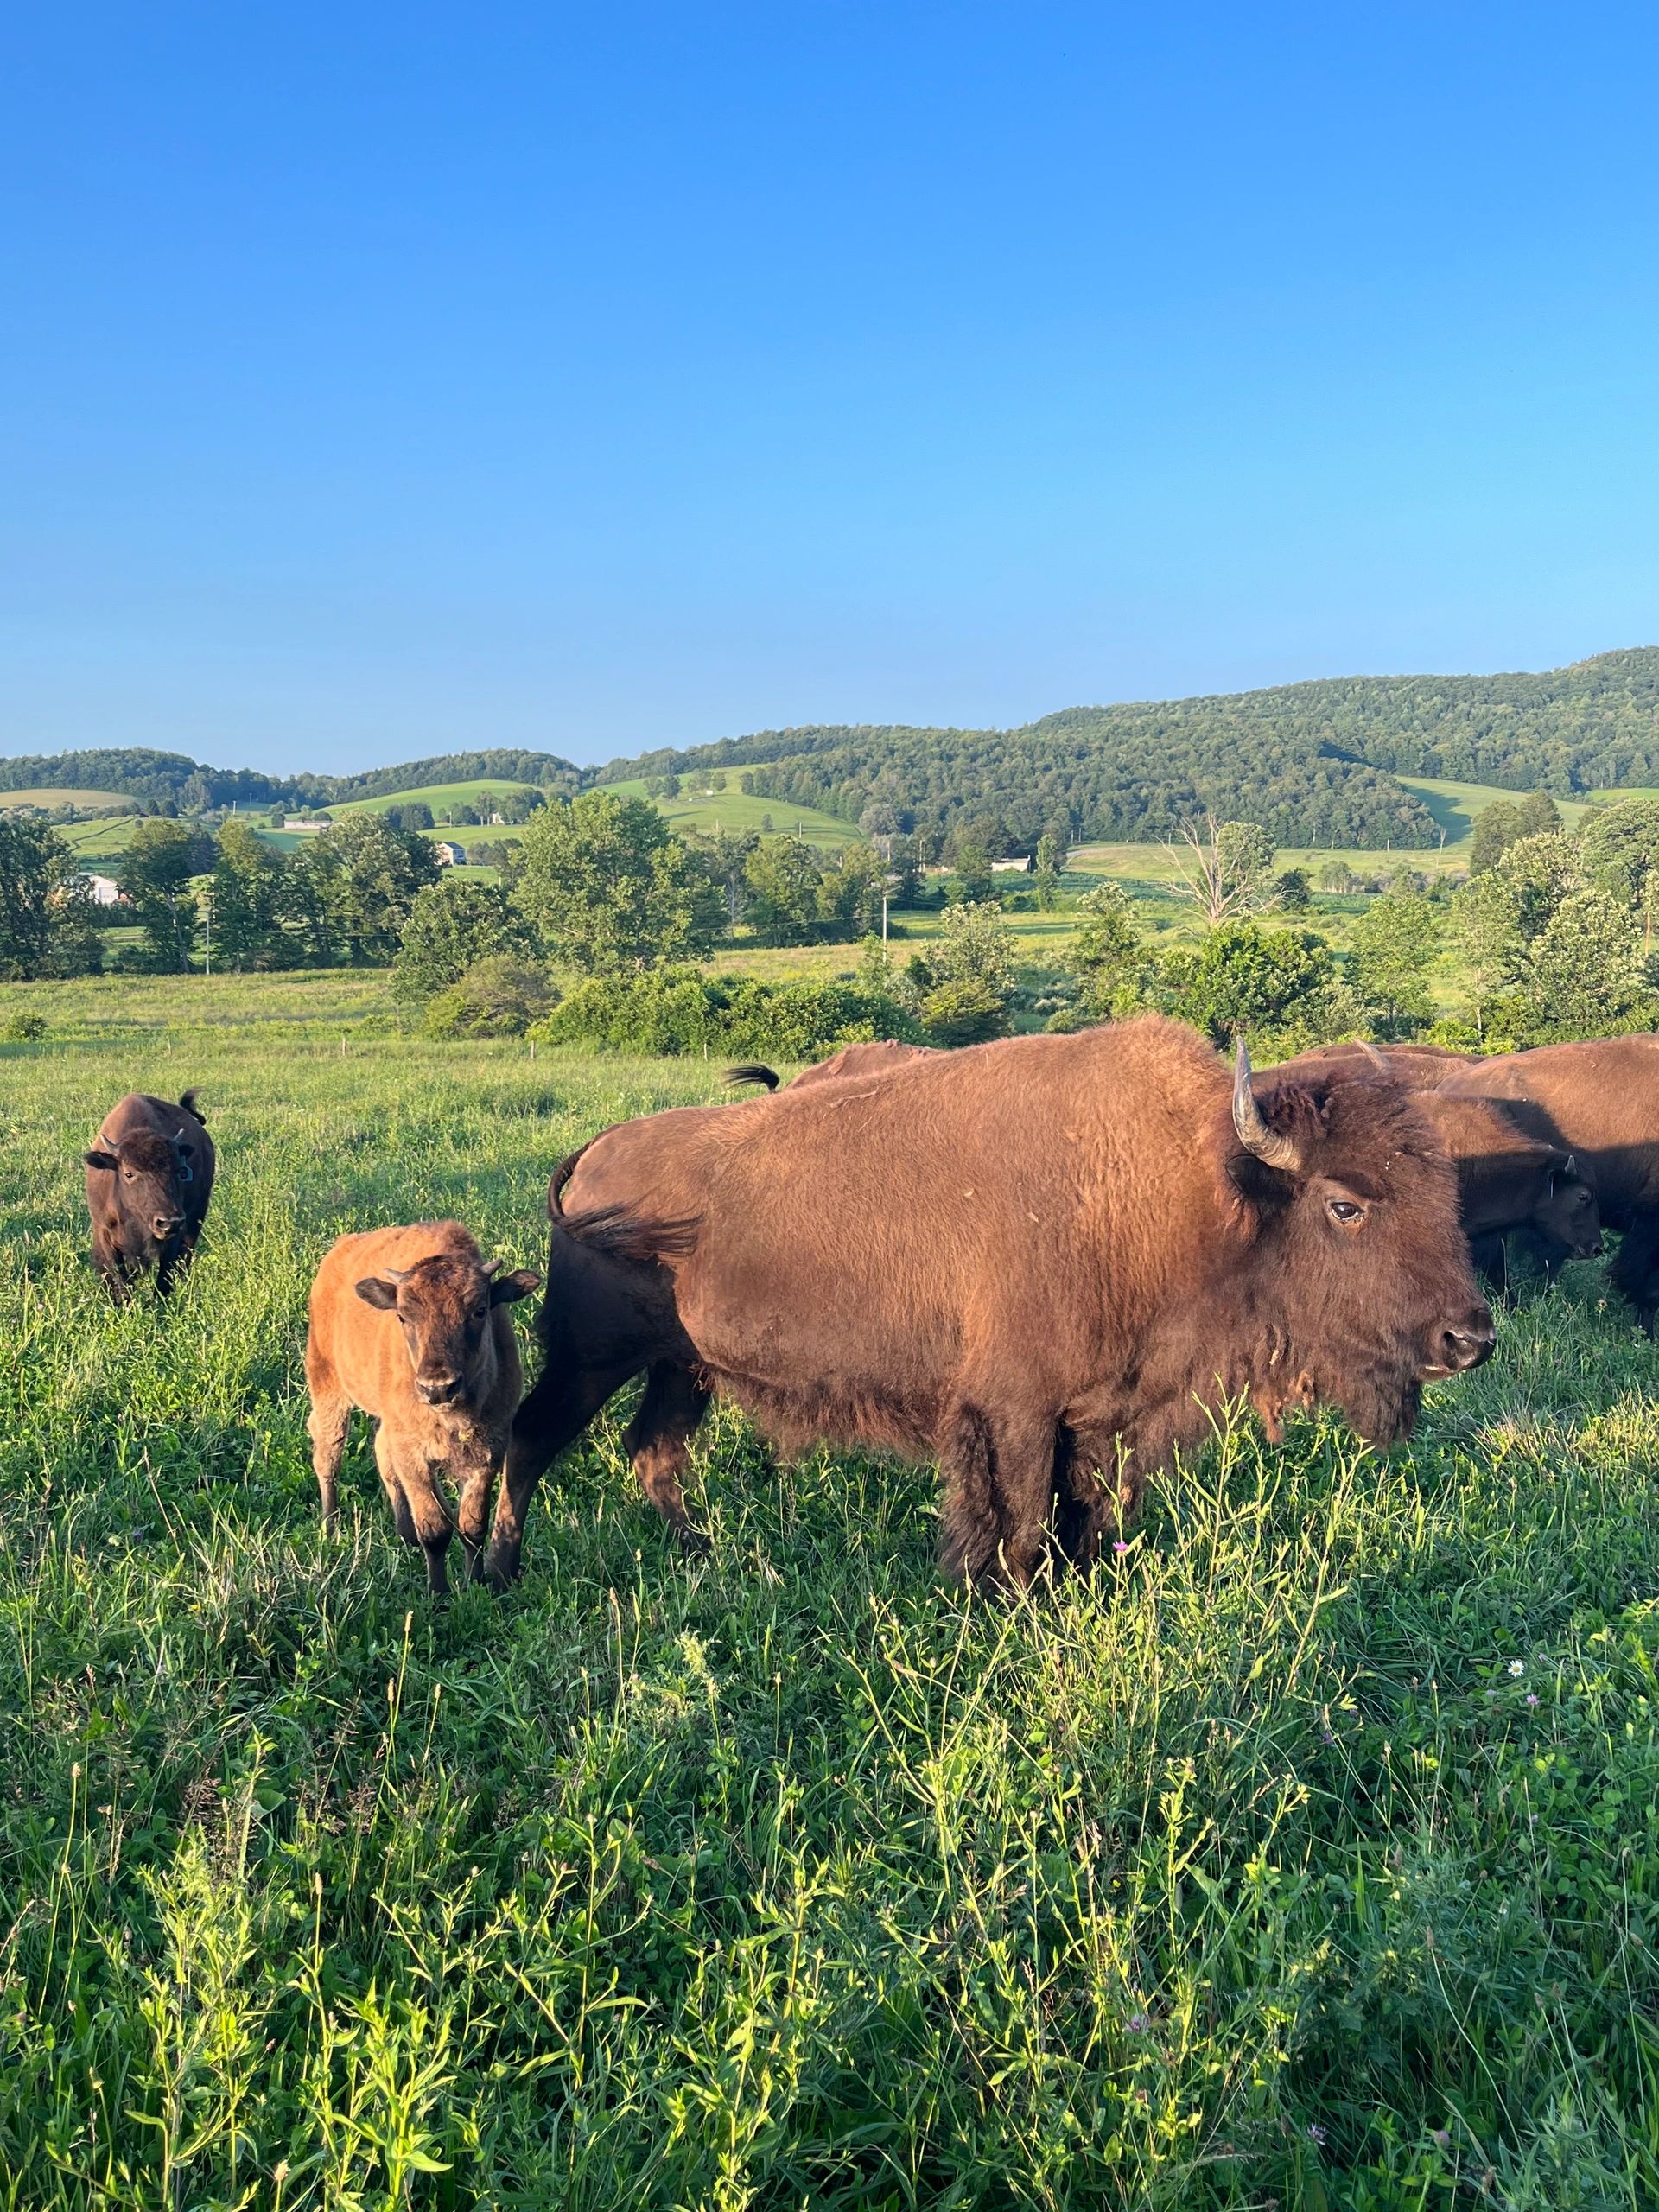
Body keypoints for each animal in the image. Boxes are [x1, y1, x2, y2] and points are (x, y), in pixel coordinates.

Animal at [84, 1091, 216, 1301]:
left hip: (197, 1215)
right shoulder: (103, 1230)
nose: (169, 1222)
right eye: (129, 1173)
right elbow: (118, 1275)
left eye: (180, 1171)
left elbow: (164, 1276)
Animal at [483, 1016, 1494, 1592]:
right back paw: (500, 1575)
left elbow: (1083, 1518)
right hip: (587, 1359)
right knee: (531, 1442)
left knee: (653, 1453)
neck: (1204, 1189)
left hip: (682, 1367)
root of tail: (597, 1151)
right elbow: (1020, 1525)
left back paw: (709, 1560)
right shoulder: (1014, 1411)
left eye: (1444, 1185)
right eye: (1345, 1204)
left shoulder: (1091, 1413)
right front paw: (1008, 1604)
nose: (1469, 1338)